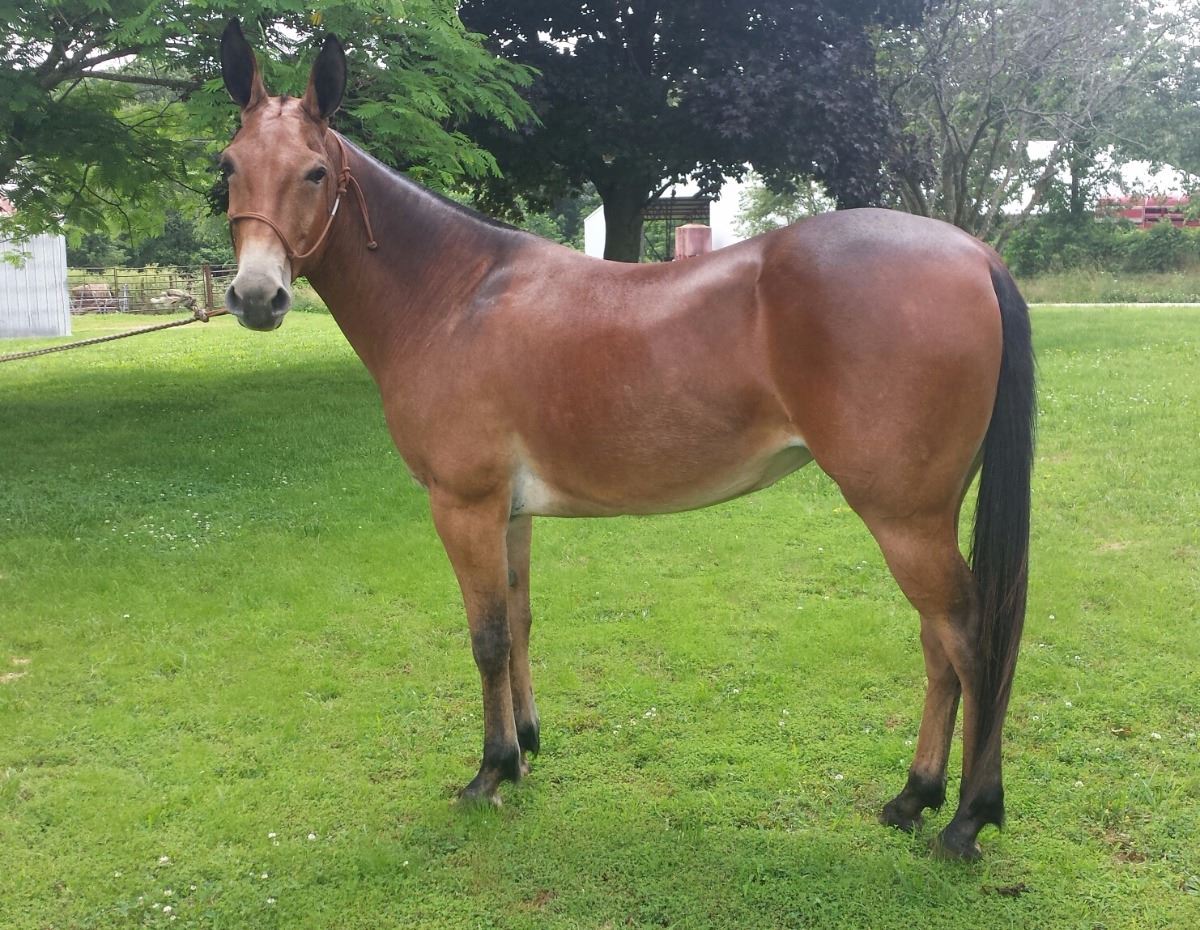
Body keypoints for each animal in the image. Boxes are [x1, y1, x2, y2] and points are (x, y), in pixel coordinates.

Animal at [217, 20, 1034, 861]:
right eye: (228, 166)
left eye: (315, 171)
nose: (257, 296)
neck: (456, 294)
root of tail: (975, 254)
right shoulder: (510, 513)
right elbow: (519, 625)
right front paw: (525, 747)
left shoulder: (464, 507)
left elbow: (486, 638)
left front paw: (490, 771)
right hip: (924, 516)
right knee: (939, 643)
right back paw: (915, 796)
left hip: (903, 517)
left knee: (970, 639)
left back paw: (967, 817)